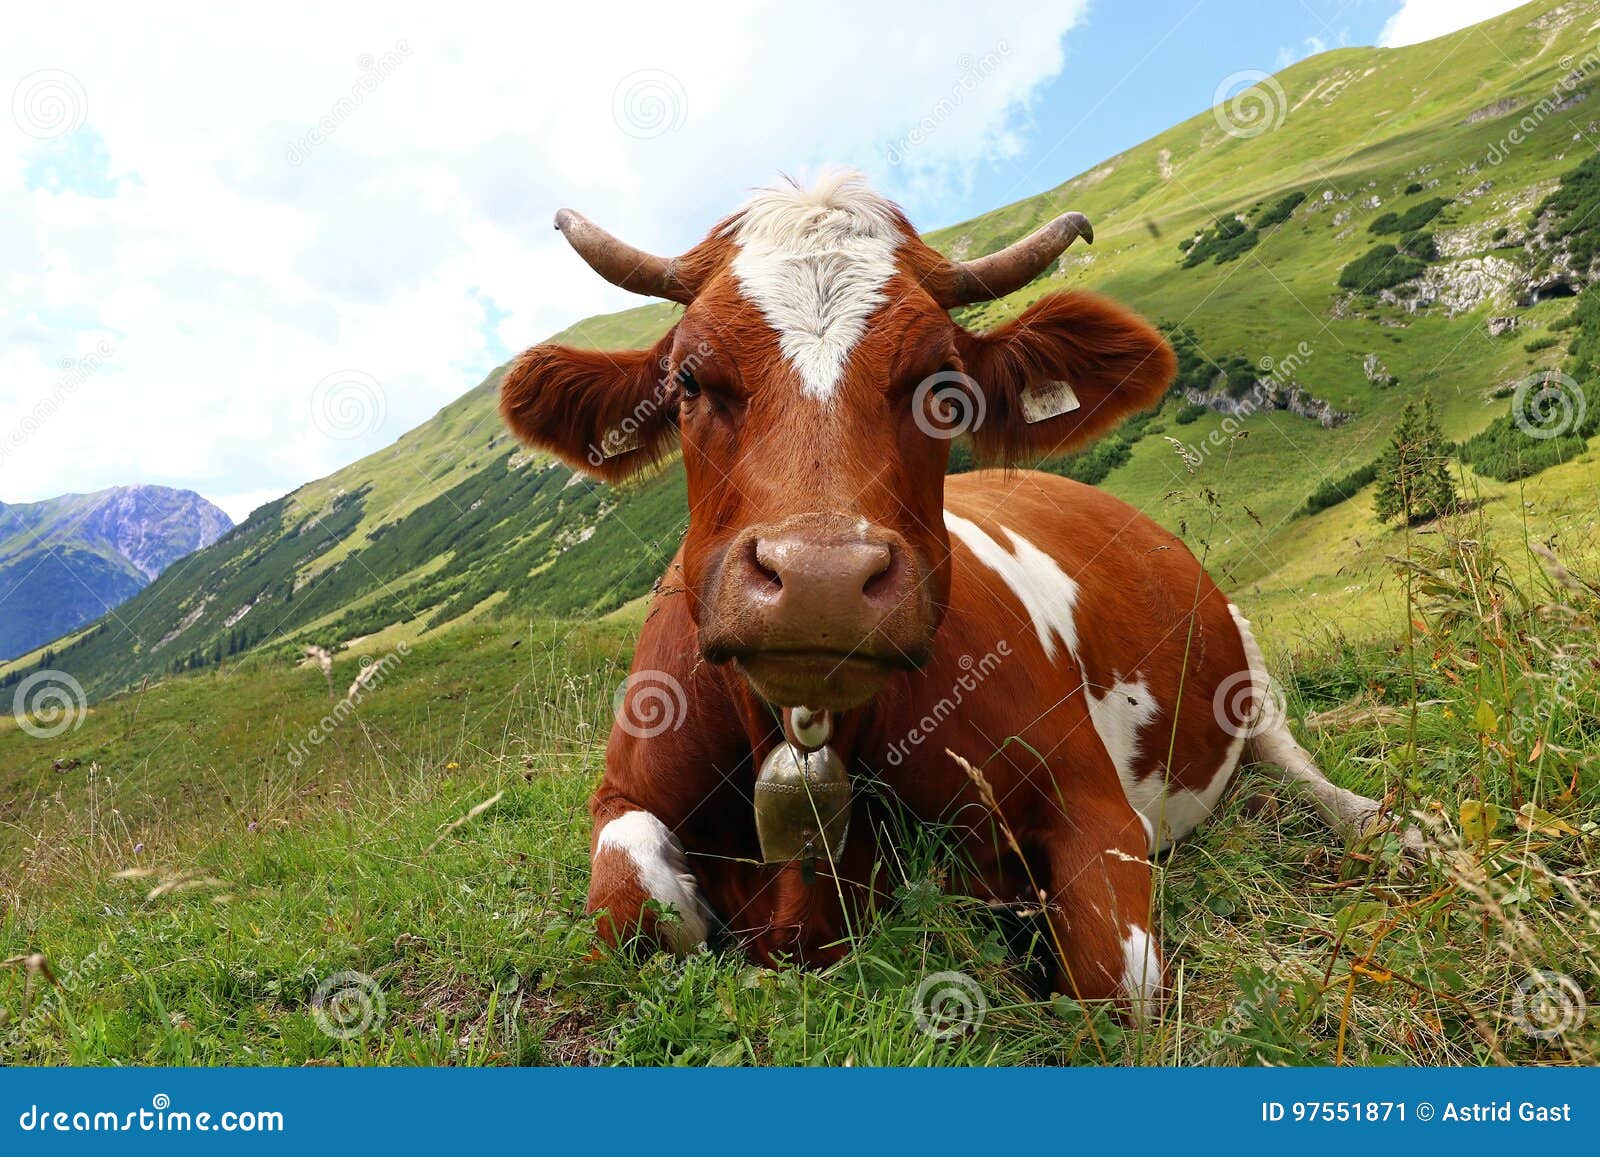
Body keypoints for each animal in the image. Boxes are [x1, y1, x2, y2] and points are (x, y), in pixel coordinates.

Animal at [500, 170, 1402, 1017]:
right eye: (687, 380)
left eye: (944, 388)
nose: (821, 580)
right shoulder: (623, 793)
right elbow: (633, 894)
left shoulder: (1097, 807)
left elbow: (1114, 987)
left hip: (1242, 650)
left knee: (1287, 754)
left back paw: (1380, 823)